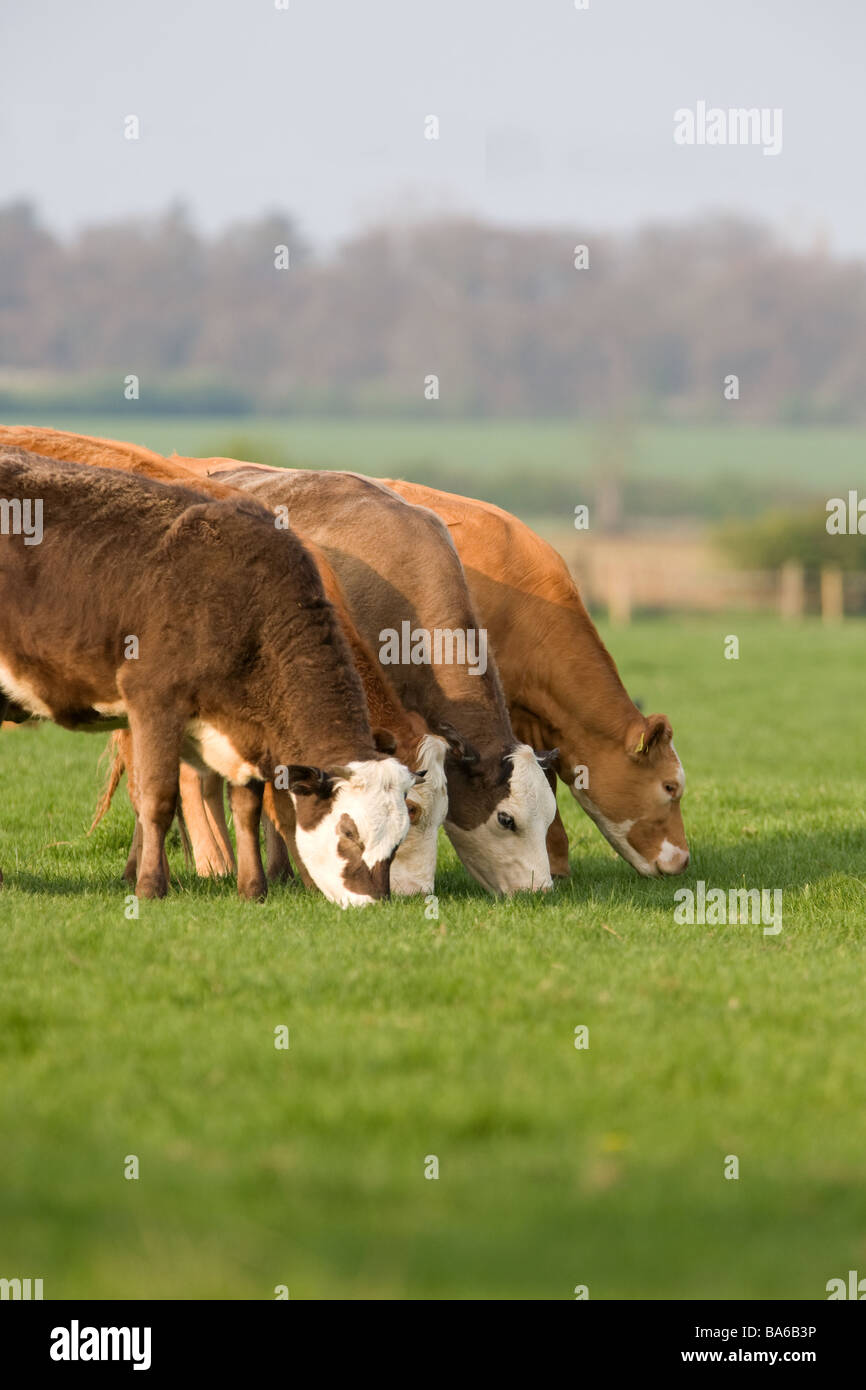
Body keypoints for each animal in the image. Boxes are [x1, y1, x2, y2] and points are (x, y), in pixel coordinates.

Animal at [0, 428, 449, 896]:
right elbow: (156, 798)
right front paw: (149, 886)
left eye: (396, 837)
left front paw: (254, 889)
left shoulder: (244, 730)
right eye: (349, 832)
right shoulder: (152, 702)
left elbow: (247, 807)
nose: (378, 900)